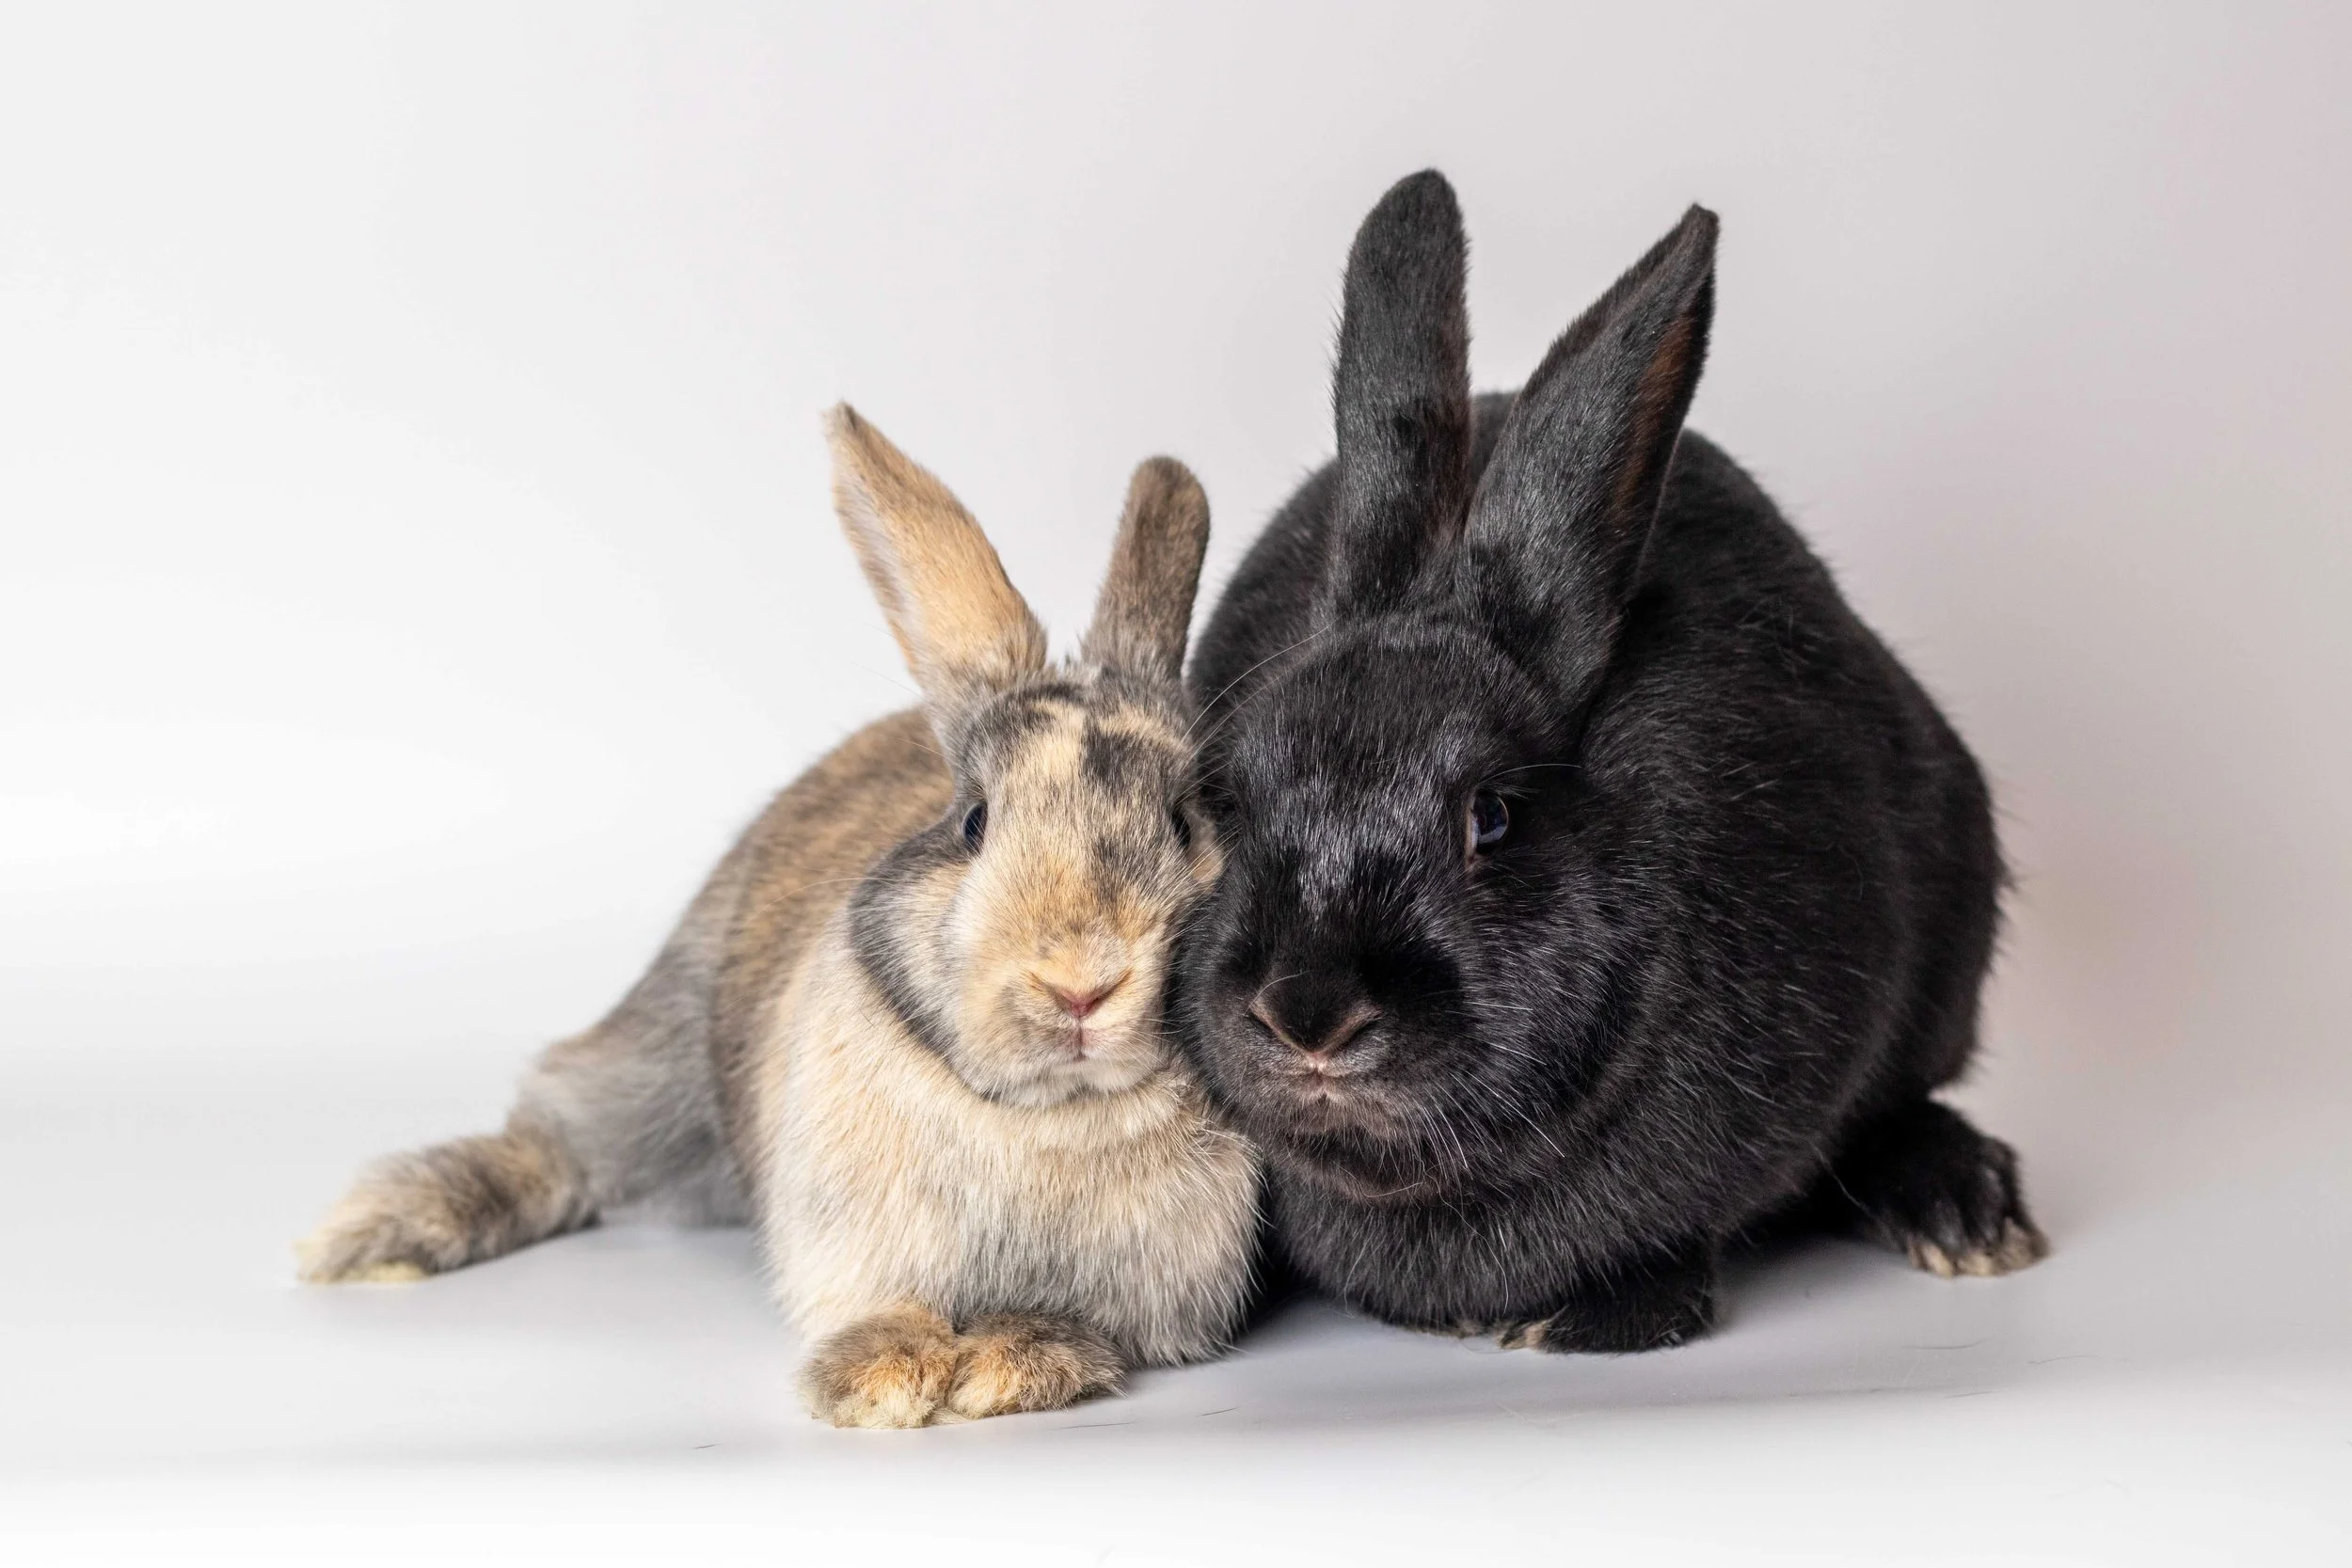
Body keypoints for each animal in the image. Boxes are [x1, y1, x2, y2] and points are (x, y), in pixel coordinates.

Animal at [298, 406, 1260, 1427]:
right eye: (974, 821)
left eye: (1183, 822)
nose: (1080, 982)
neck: (1043, 1112)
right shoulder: (852, 1240)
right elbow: (885, 1306)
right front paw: (881, 1380)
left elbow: (1072, 1324)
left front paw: (1008, 1366)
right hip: (660, 1055)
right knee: (560, 1149)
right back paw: (373, 1237)